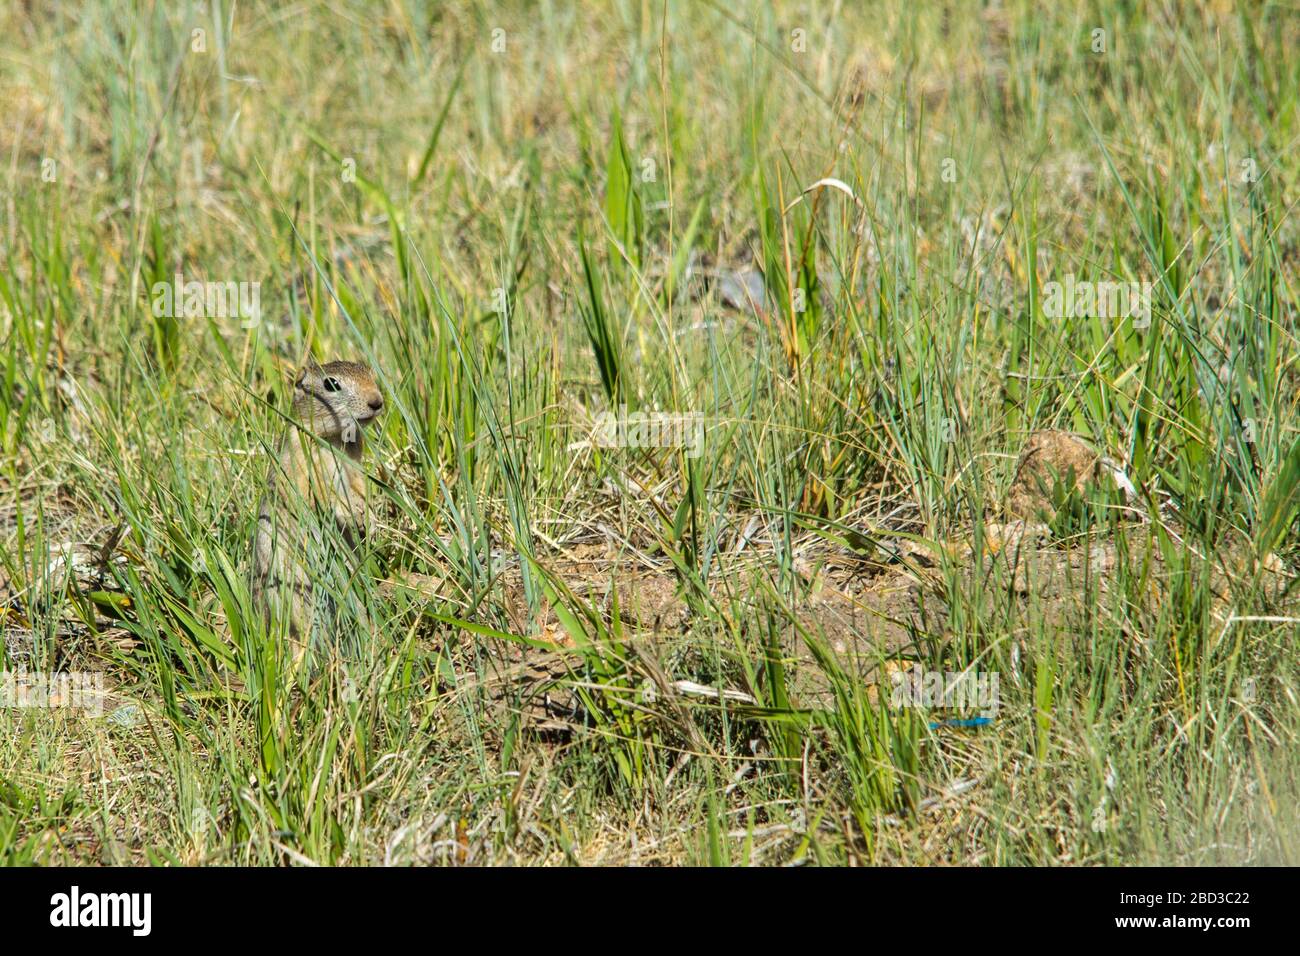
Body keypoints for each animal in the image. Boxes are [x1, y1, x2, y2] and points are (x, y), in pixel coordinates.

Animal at [251, 358, 384, 670]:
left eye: (369, 371)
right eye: (331, 384)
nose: (377, 402)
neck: (335, 439)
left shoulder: (354, 466)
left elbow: (361, 488)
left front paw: (371, 522)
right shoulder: (315, 467)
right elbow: (328, 498)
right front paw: (355, 516)